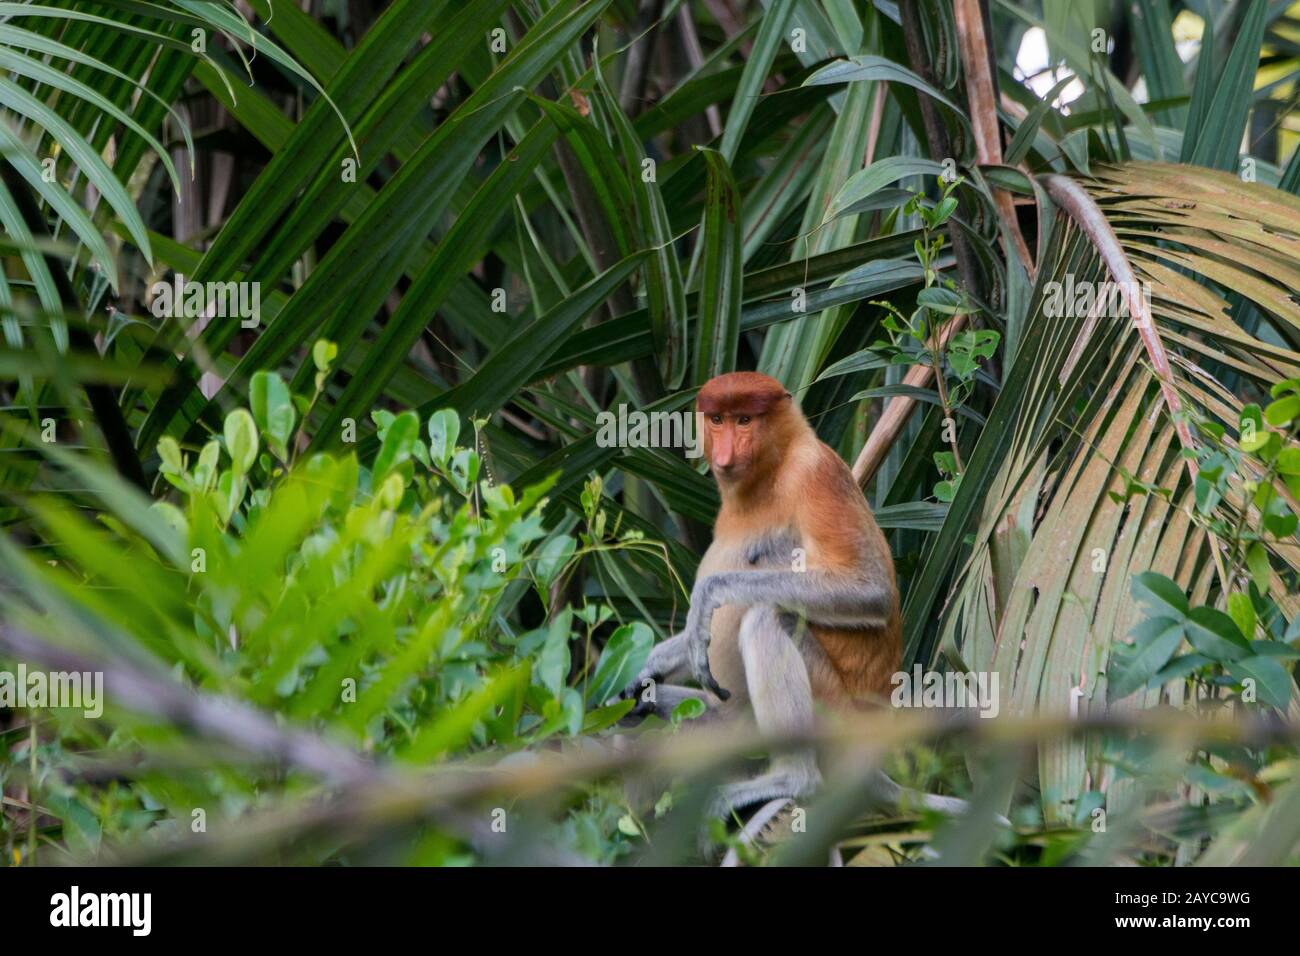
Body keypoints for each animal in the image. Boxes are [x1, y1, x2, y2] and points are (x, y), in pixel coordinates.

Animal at [622, 371, 971, 823]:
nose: (725, 454)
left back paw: (792, 779)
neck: (773, 466)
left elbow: (871, 590)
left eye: (745, 420)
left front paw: (705, 600)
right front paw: (653, 664)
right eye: (717, 419)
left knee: (769, 618)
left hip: (835, 717)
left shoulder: (813, 474)